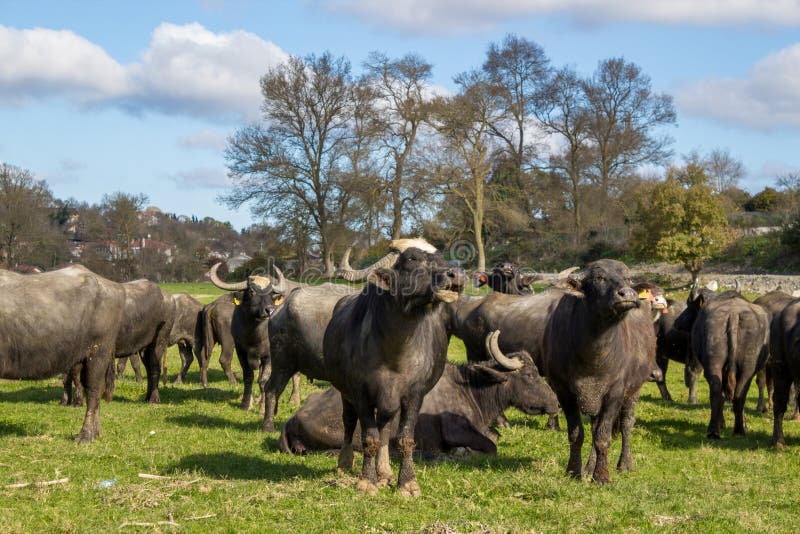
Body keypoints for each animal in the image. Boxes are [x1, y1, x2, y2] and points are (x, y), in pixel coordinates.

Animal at [280, 331, 558, 455]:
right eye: (529, 375)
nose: (556, 403)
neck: (470, 389)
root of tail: (293, 419)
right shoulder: (454, 430)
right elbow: (491, 445)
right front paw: (460, 452)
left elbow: (494, 436)